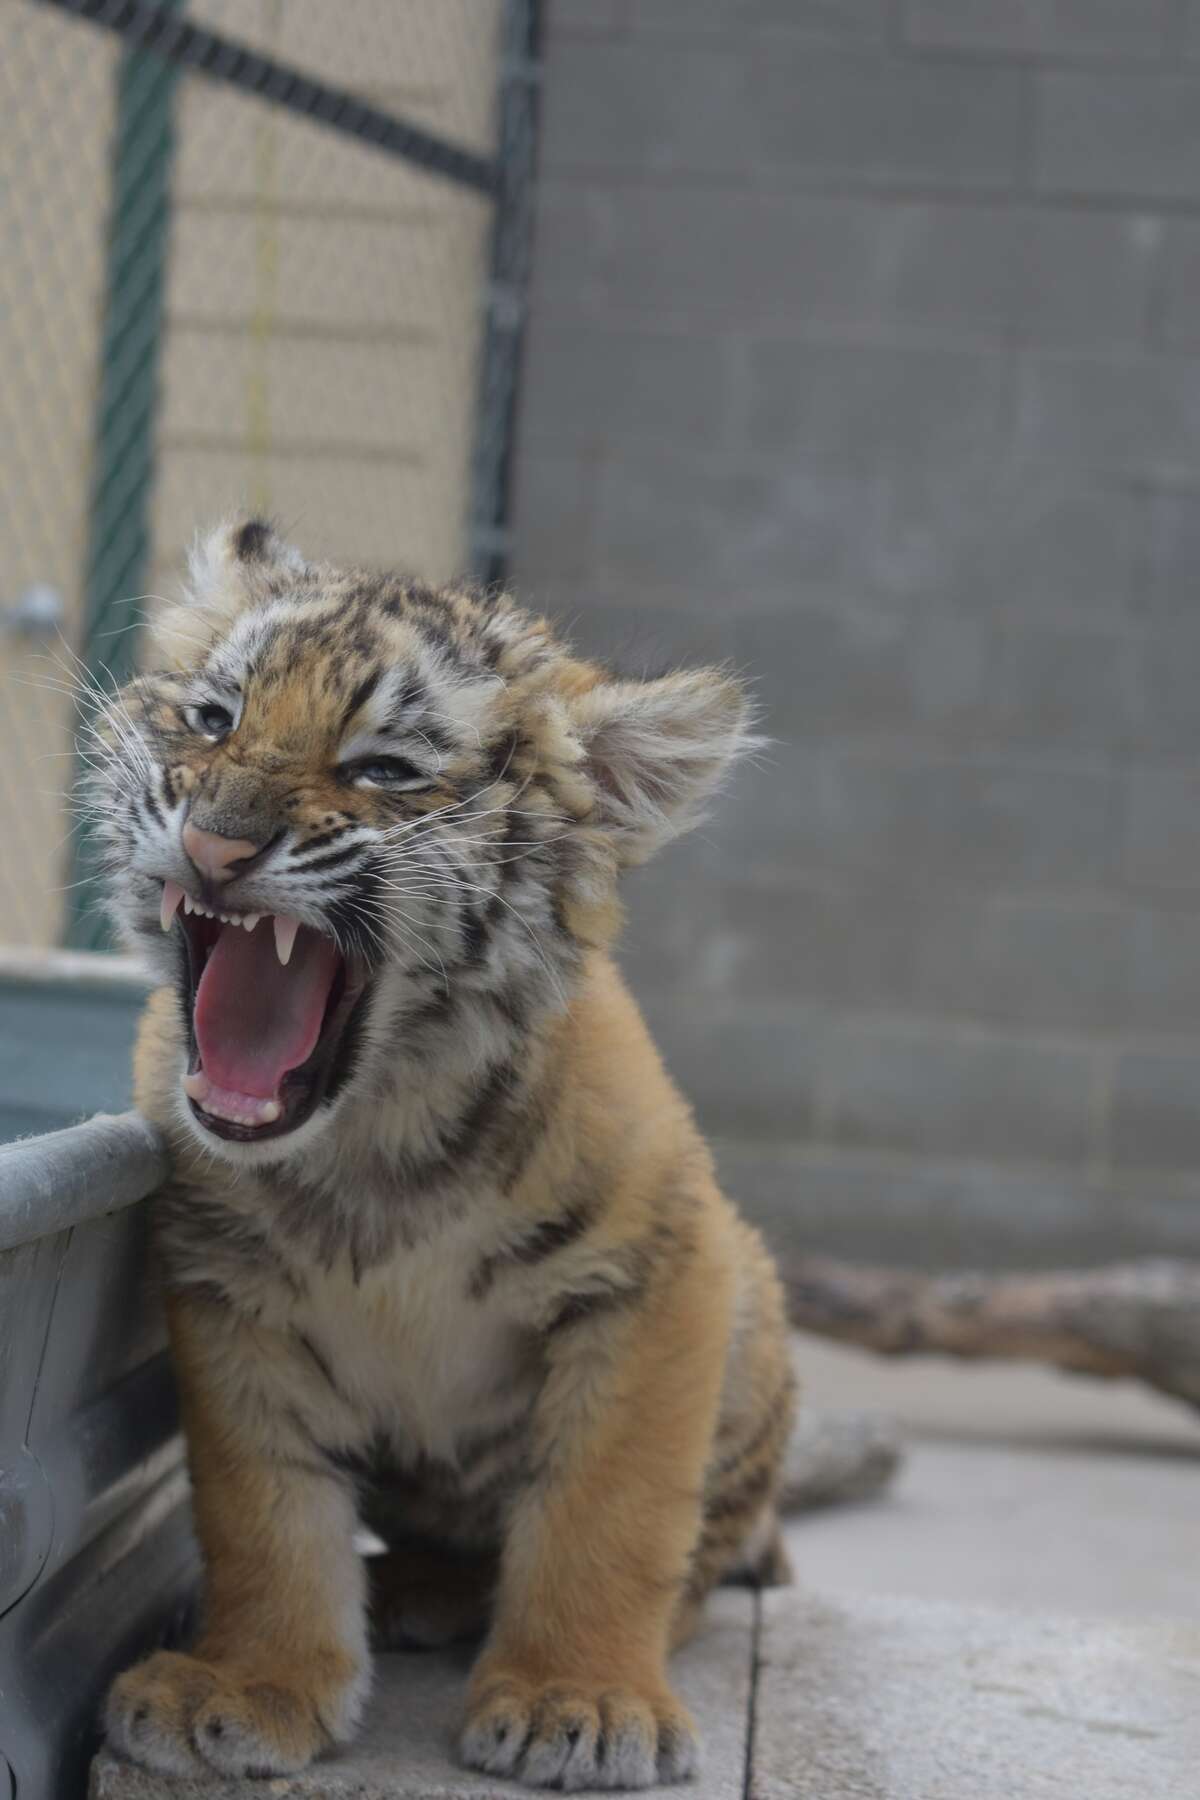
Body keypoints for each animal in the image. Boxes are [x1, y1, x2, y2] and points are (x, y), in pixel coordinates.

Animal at [96, 519, 796, 1791]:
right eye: (216, 717)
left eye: (382, 767)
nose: (216, 844)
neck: (367, 1144)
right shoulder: (225, 1298)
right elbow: (262, 1511)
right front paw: (245, 1686)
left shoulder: (666, 1270)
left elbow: (614, 1505)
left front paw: (582, 1700)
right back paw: (412, 1590)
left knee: (703, 1553)